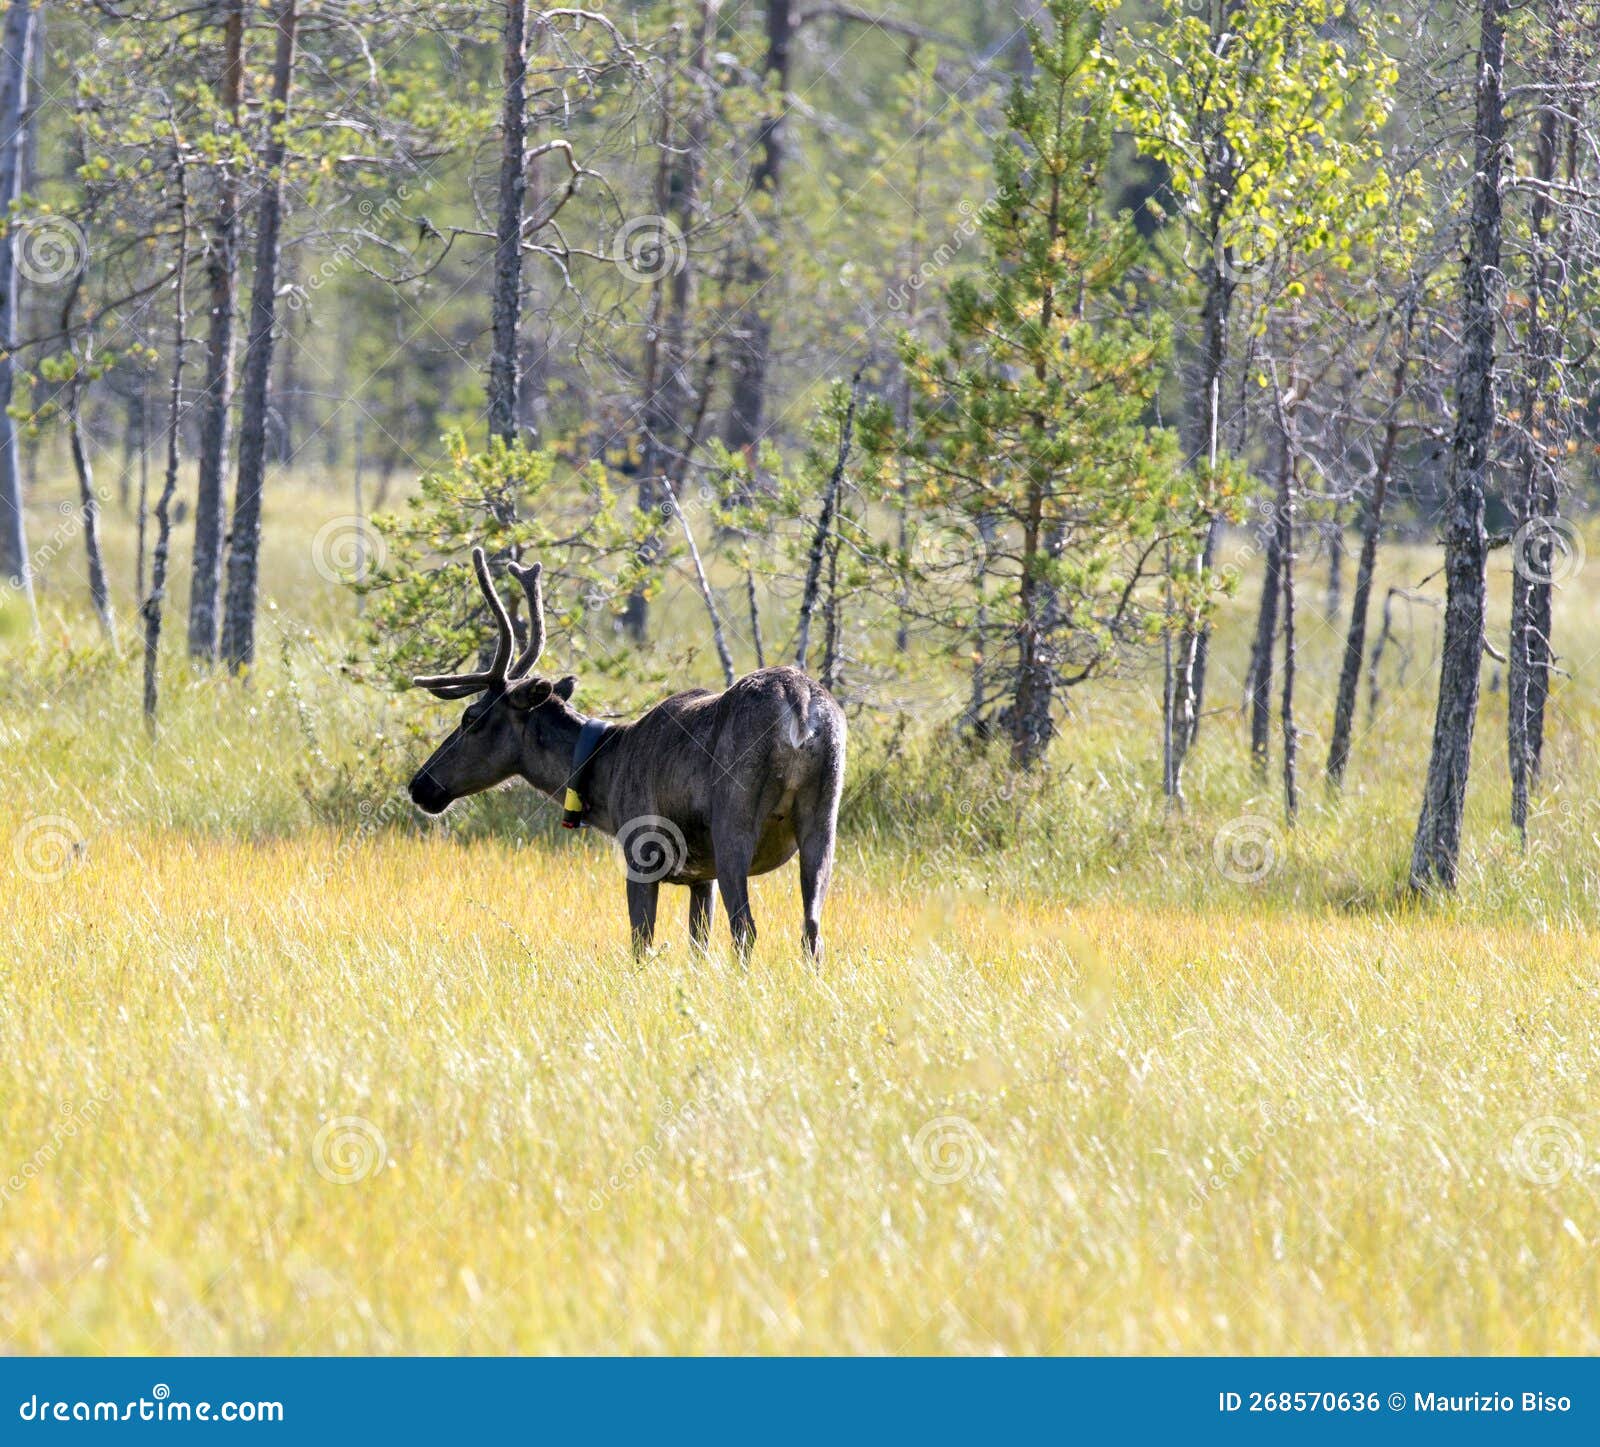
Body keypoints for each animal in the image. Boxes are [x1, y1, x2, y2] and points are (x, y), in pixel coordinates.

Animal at [407, 547, 847, 963]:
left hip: (733, 820)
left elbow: (641, 941)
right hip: (823, 818)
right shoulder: (701, 876)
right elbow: (698, 947)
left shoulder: (642, 850)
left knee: (746, 928)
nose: (419, 785)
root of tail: (800, 704)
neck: (605, 776)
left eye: (471, 717)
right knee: (812, 929)